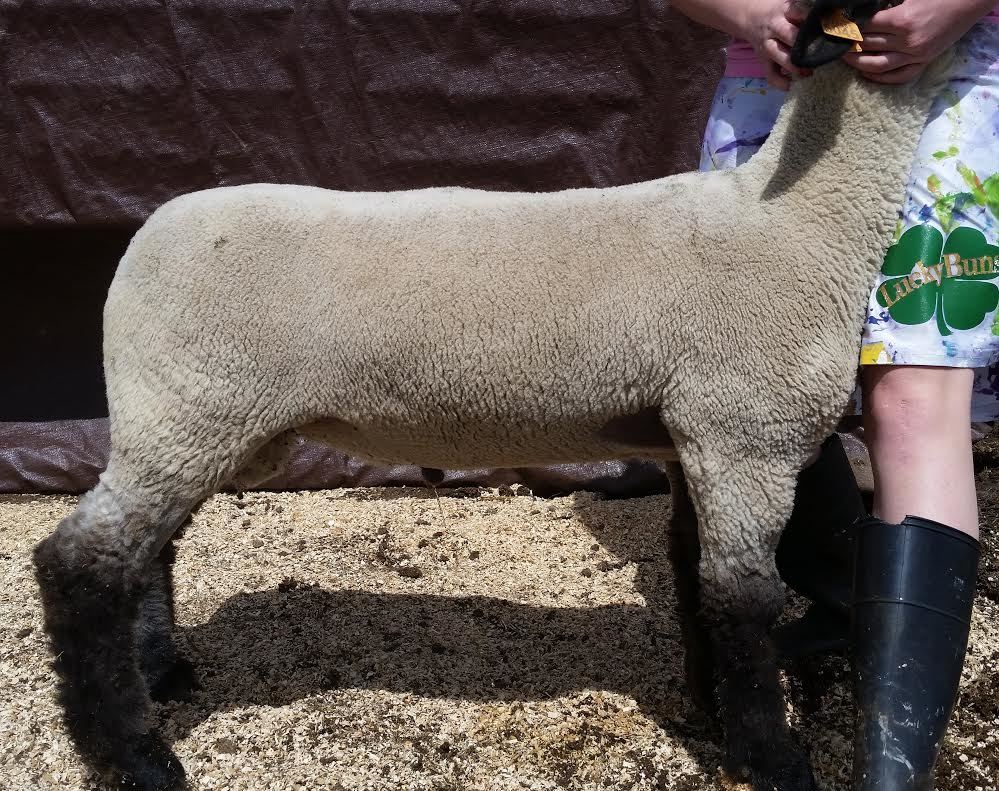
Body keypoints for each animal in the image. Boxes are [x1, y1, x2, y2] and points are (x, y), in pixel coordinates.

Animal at [32, 2, 952, 789]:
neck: (793, 217)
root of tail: (145, 236)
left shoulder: (690, 439)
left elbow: (695, 579)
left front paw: (707, 715)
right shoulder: (745, 431)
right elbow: (745, 601)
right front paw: (770, 759)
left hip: (203, 422)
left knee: (145, 552)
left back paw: (162, 675)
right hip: (187, 405)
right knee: (80, 561)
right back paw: (132, 754)